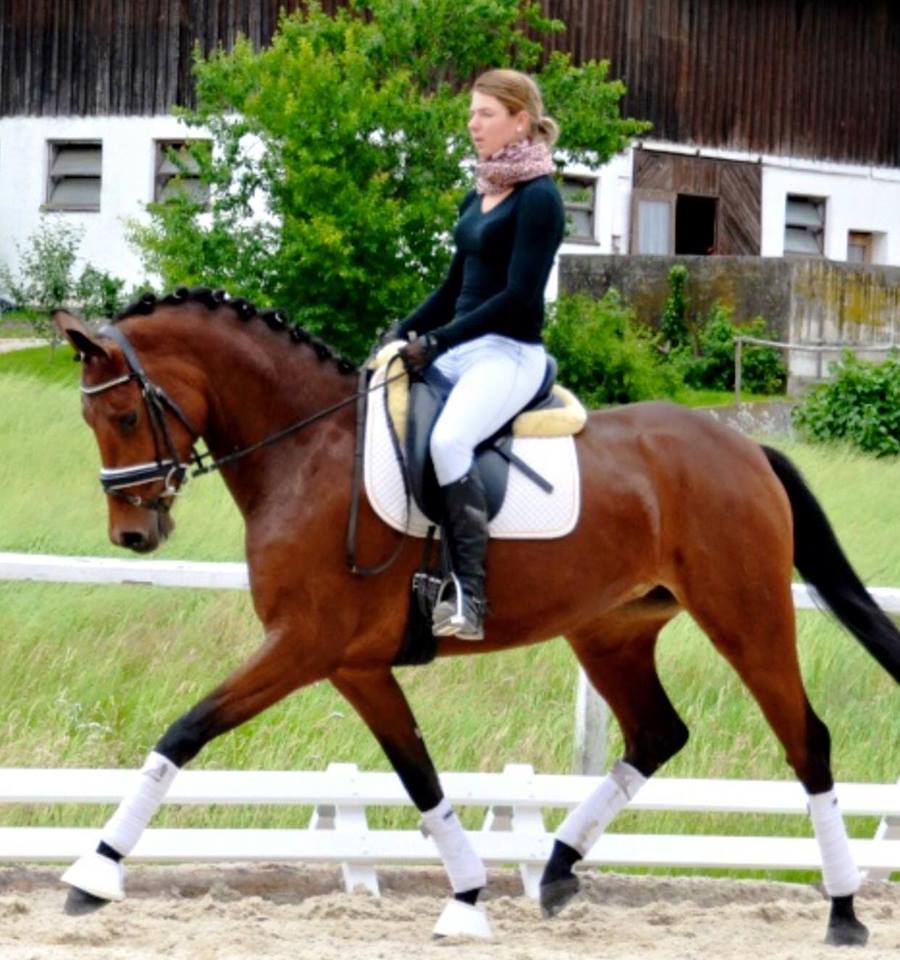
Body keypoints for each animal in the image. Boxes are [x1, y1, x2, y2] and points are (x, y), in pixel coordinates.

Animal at [53, 289, 899, 946]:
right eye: (91, 421)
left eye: (123, 414)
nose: (132, 536)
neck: (309, 452)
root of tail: (747, 449)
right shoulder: (354, 664)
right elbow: (419, 775)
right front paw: (466, 898)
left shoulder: (303, 644)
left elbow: (186, 730)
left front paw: (94, 871)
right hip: (611, 631)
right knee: (658, 733)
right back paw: (556, 870)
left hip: (745, 615)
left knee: (806, 740)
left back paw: (844, 912)